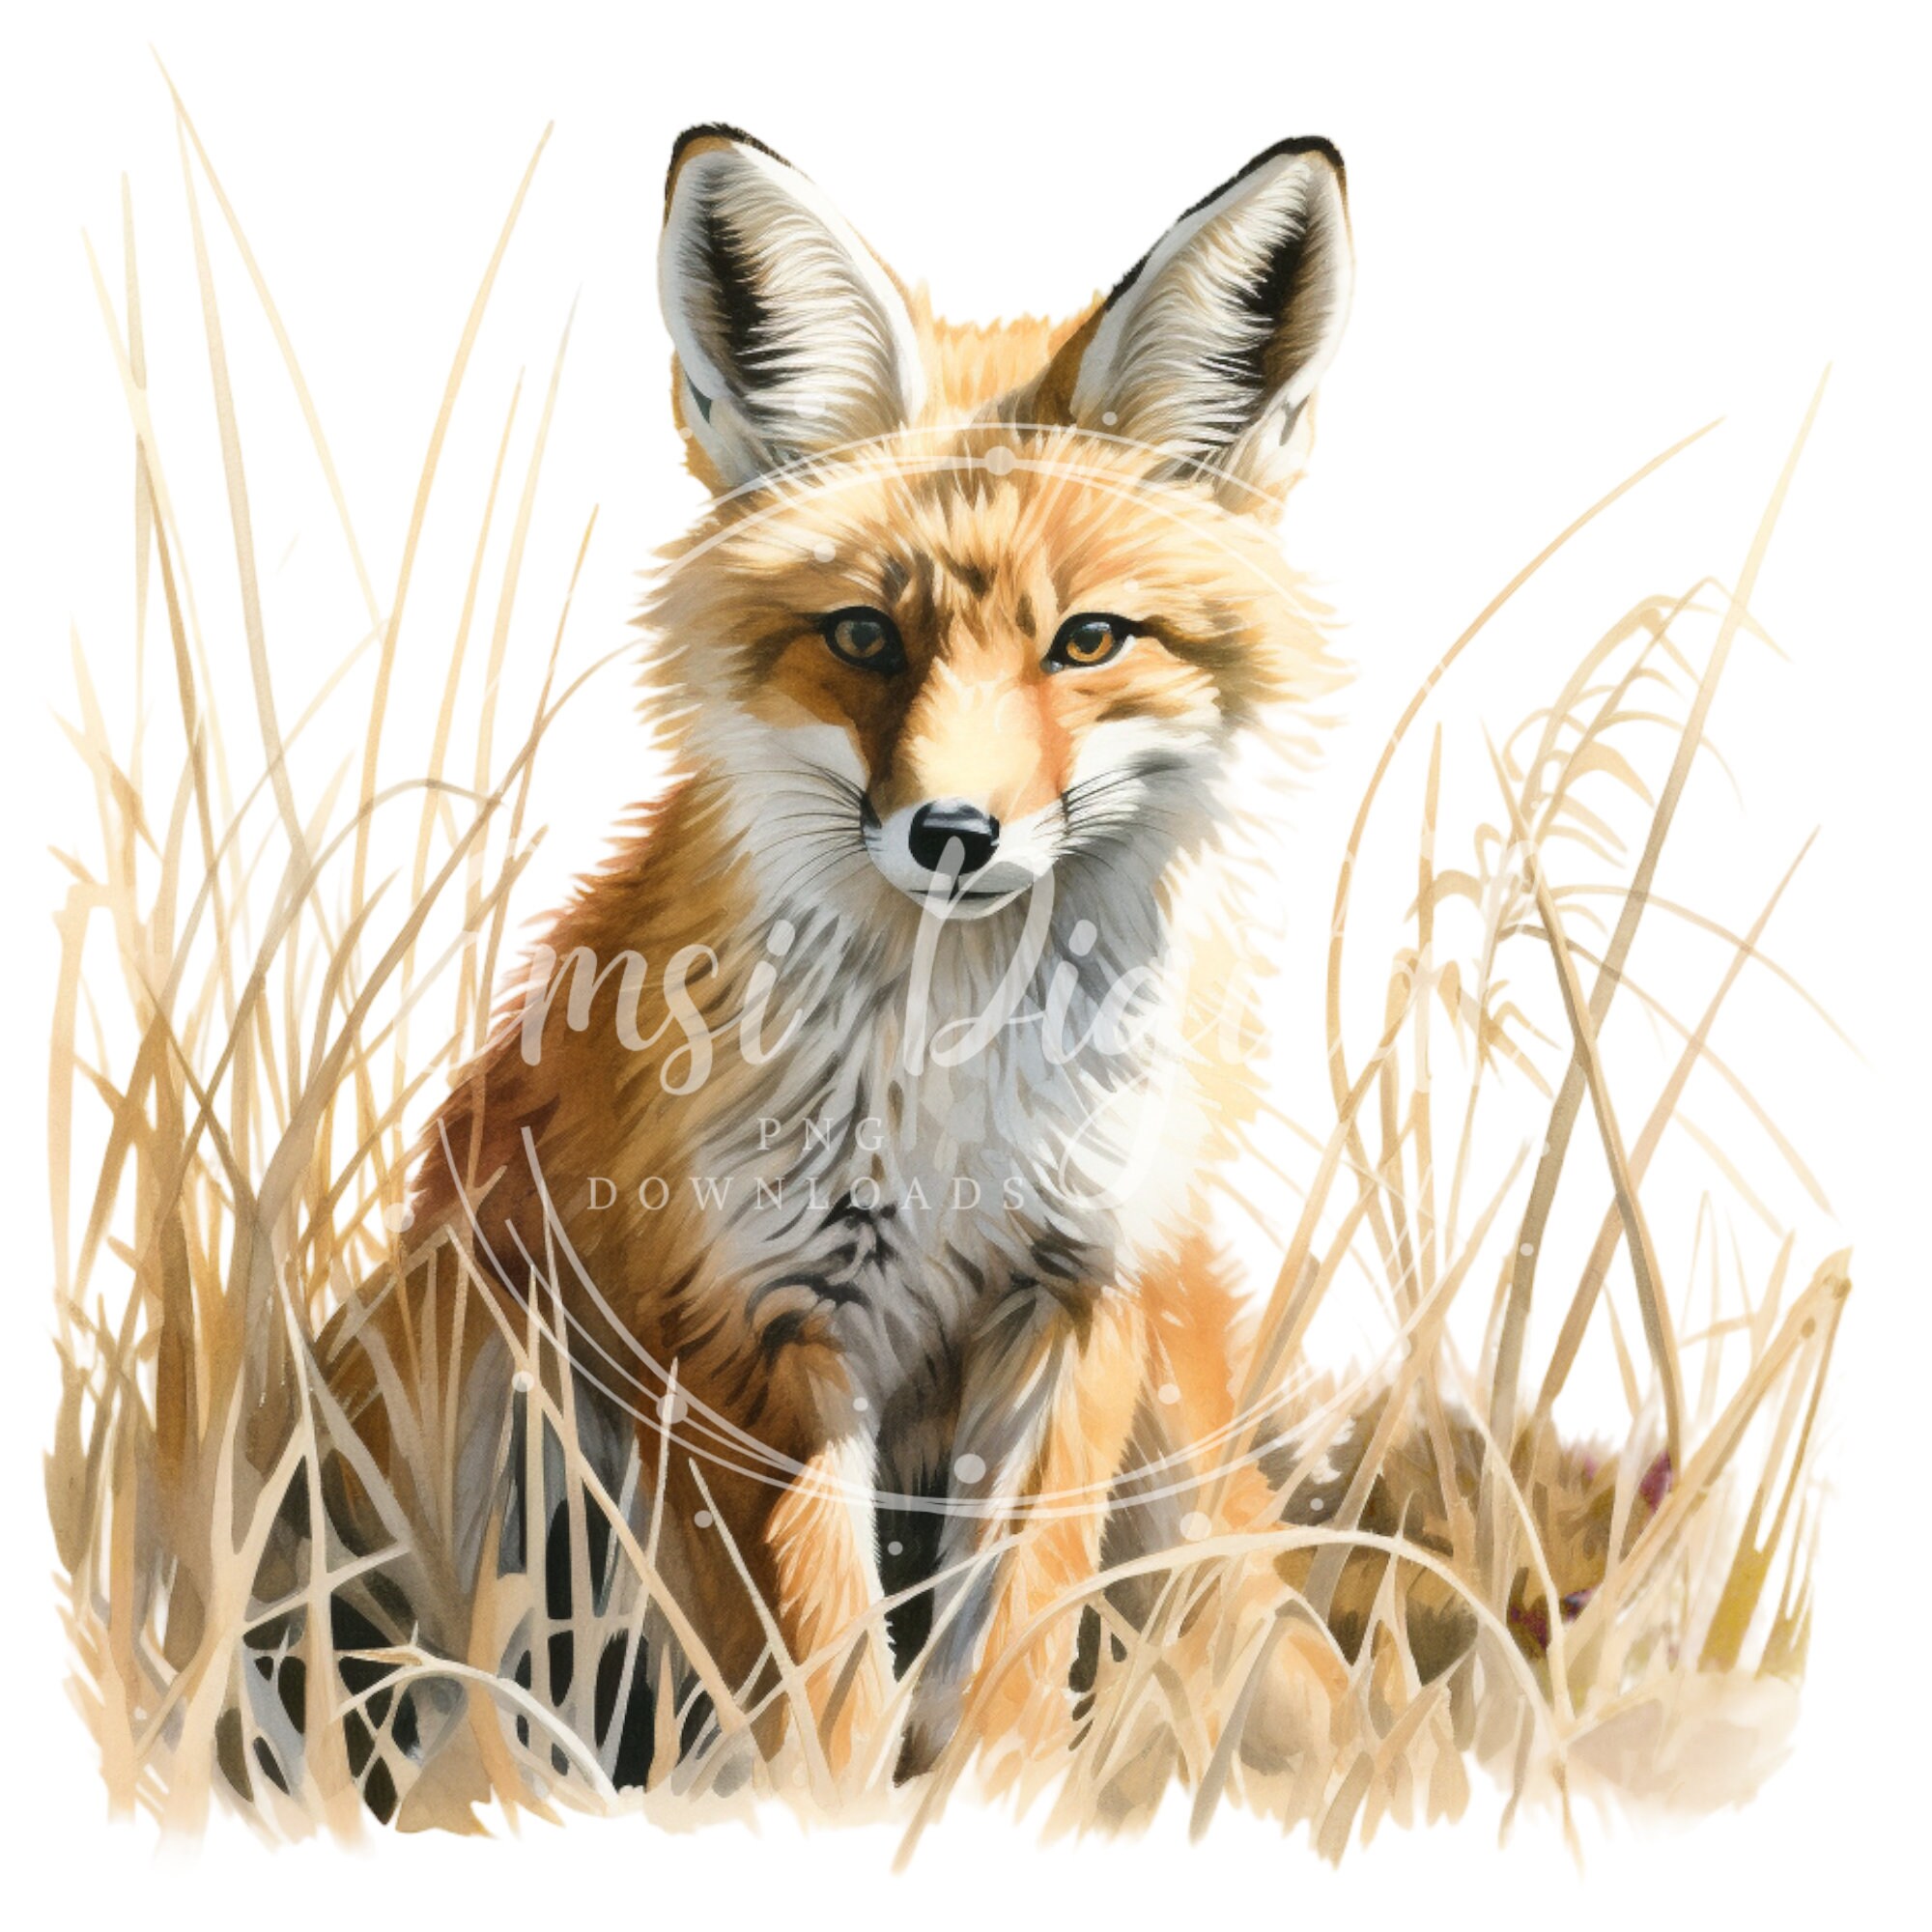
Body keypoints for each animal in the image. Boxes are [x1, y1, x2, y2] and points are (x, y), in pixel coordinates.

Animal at [324, 124, 1362, 1784]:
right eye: (866, 637)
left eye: (1089, 642)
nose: (954, 834)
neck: (959, 1075)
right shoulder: (754, 1327)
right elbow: (825, 1703)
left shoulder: (1070, 1302)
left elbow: (1005, 1668)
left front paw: (998, 1808)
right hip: (483, 1396)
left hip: (1196, 1492)